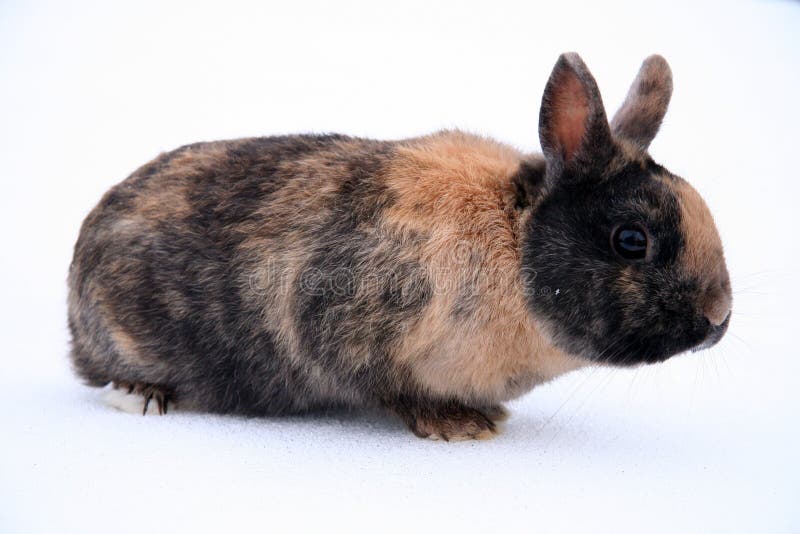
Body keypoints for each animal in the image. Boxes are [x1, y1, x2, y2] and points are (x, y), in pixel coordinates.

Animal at [68, 53, 731, 441]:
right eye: (631, 240)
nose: (718, 318)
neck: (515, 243)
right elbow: (396, 391)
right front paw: (460, 427)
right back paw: (144, 397)